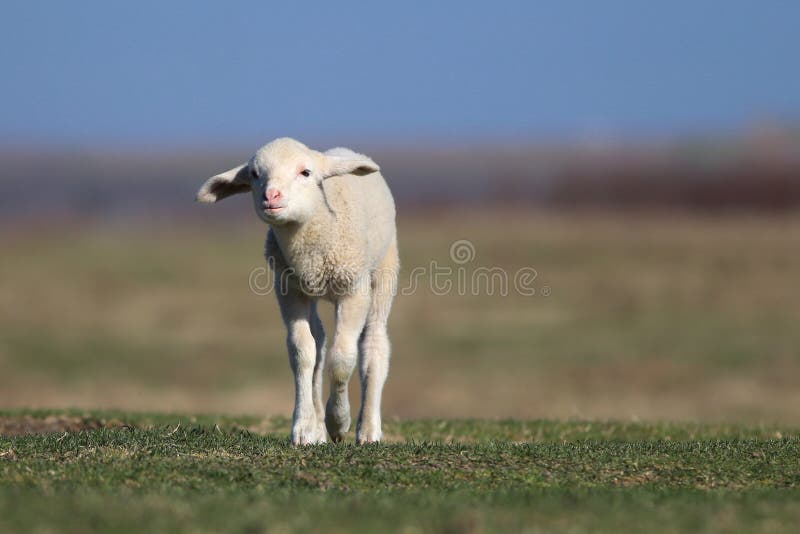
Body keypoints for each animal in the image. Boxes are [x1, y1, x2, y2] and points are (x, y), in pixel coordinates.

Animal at [196, 138, 399, 445]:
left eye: (305, 172)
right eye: (255, 174)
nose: (271, 196)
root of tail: (345, 152)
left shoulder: (353, 290)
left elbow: (342, 359)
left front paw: (338, 422)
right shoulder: (289, 290)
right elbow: (302, 353)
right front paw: (304, 428)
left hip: (384, 271)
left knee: (374, 344)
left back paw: (368, 429)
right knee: (320, 339)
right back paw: (318, 428)